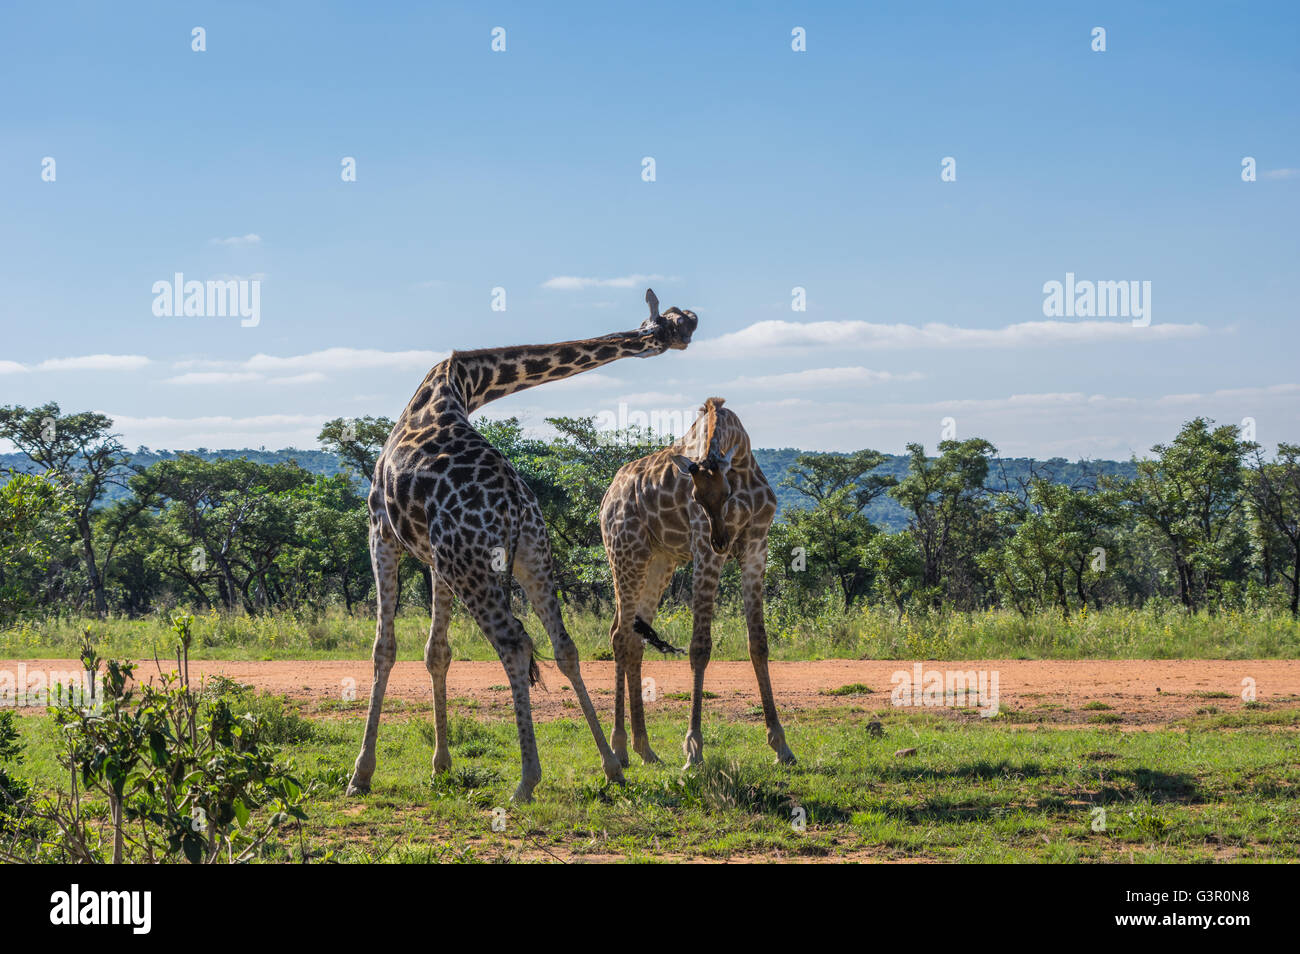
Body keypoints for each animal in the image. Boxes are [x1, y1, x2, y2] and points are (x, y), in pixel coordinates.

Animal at [346, 289, 698, 802]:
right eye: (669, 322)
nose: (688, 328)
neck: (460, 385)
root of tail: (513, 505)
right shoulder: (433, 556)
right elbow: (437, 652)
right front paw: (440, 766)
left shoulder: (381, 531)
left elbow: (384, 648)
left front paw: (362, 773)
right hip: (529, 554)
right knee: (565, 645)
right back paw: (611, 766)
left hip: (473, 565)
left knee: (514, 645)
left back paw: (528, 779)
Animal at [599, 397, 796, 769]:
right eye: (696, 499)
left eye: (728, 492)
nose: (721, 541)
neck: (742, 462)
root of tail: (607, 498)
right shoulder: (704, 550)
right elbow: (700, 647)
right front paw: (693, 749)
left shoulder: (756, 546)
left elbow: (759, 644)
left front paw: (781, 745)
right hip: (625, 551)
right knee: (618, 635)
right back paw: (618, 748)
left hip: (659, 561)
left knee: (632, 638)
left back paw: (644, 749)